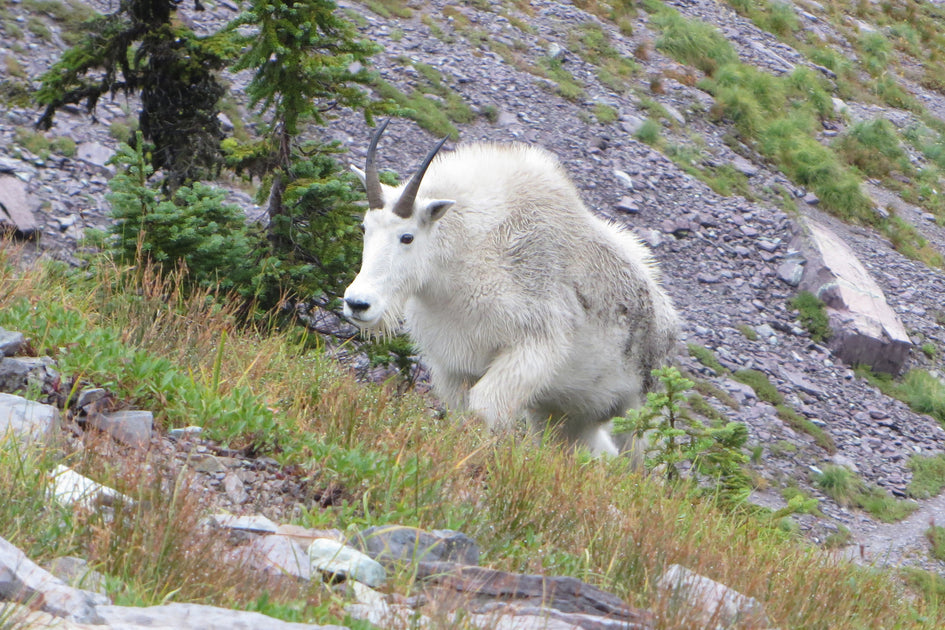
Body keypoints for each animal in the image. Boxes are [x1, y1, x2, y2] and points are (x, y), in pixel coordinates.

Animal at [343, 121, 679, 455]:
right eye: (364, 227)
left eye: (407, 237)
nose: (358, 303)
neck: (468, 255)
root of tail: (669, 317)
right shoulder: (453, 365)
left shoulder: (531, 347)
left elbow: (484, 409)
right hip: (565, 414)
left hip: (642, 411)